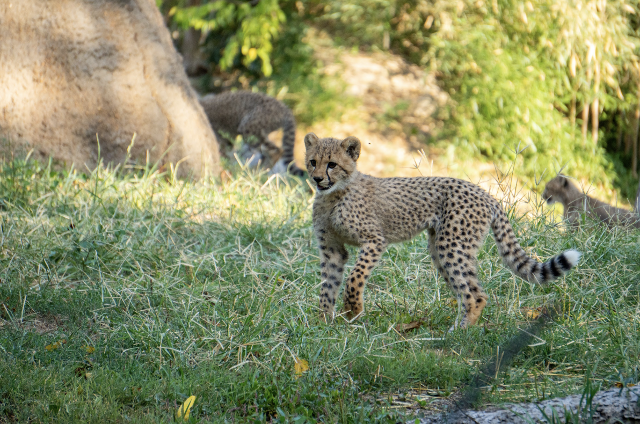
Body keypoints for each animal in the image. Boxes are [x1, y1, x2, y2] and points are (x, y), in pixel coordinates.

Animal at [305, 133, 581, 330]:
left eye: (332, 164)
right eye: (313, 162)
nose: (317, 178)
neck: (334, 195)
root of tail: (488, 195)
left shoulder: (374, 240)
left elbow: (354, 278)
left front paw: (352, 311)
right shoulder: (332, 250)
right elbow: (328, 285)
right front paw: (322, 323)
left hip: (451, 245)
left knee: (473, 293)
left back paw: (458, 333)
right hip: (442, 248)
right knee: (472, 289)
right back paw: (463, 327)